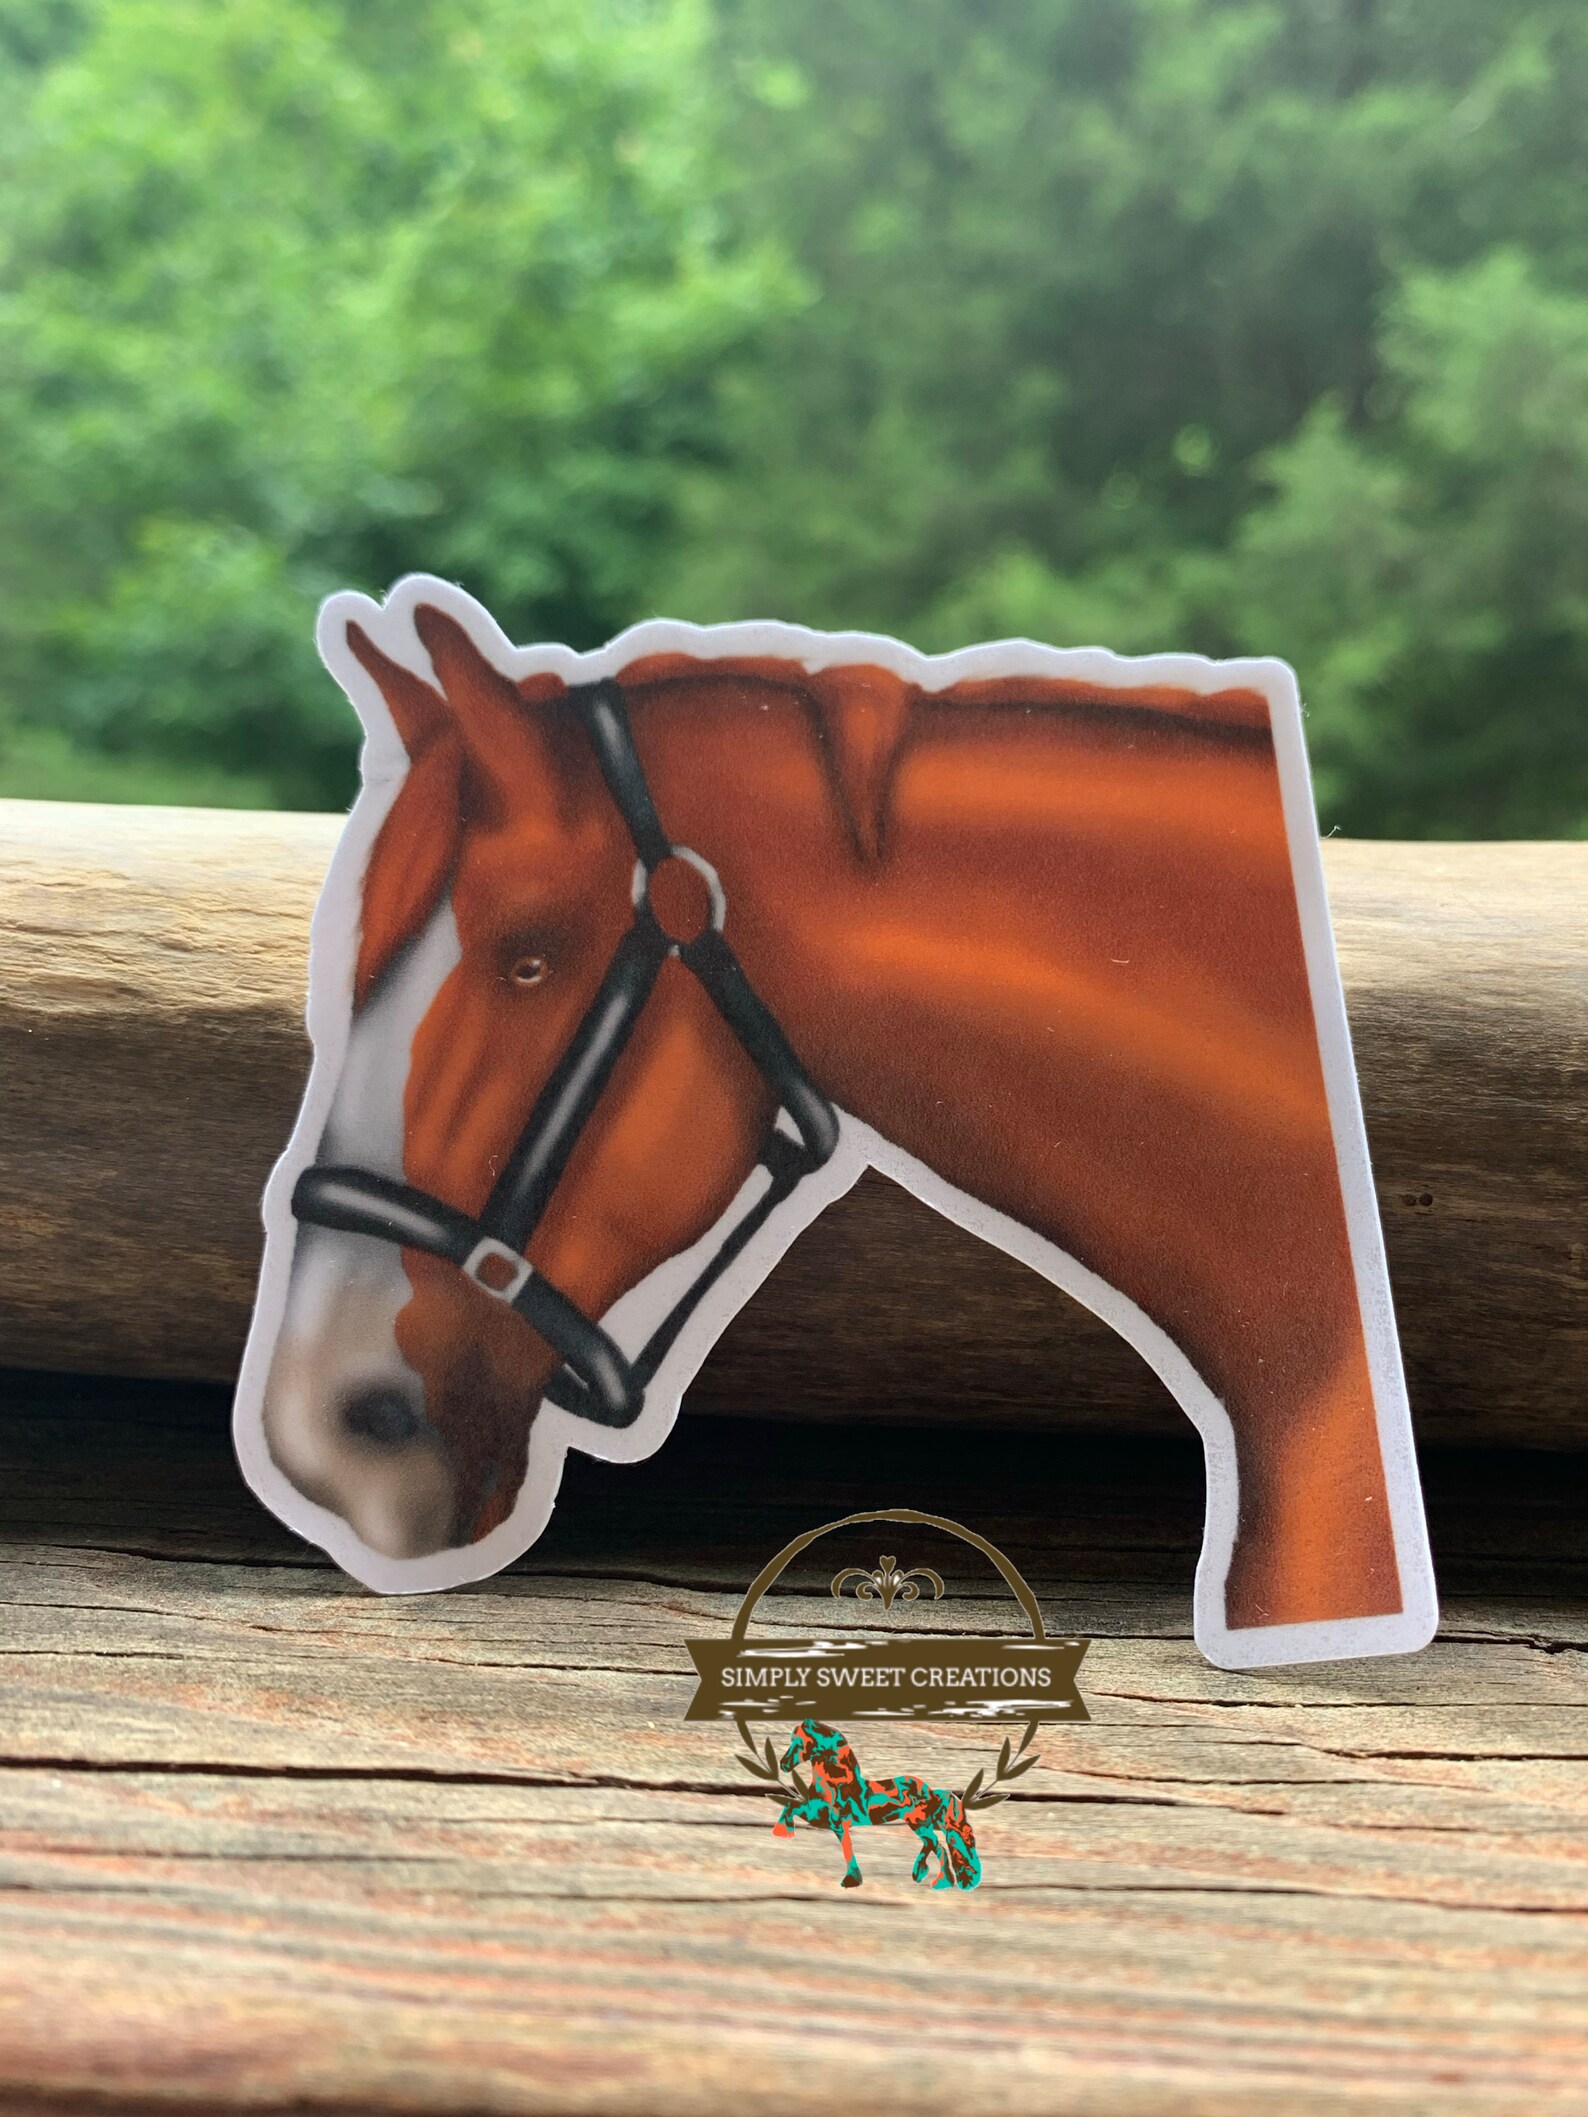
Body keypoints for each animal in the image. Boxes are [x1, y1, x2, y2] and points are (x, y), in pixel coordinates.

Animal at [774, 1720, 979, 1890]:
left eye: (799, 1743)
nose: (783, 1764)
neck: (836, 1784)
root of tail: (931, 1792)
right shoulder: (816, 1815)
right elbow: (791, 1806)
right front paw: (783, 1831)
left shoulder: (837, 1824)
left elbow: (847, 1849)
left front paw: (851, 1881)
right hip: (918, 1824)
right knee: (933, 1844)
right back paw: (922, 1874)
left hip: (917, 1823)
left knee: (936, 1845)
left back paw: (935, 1879)